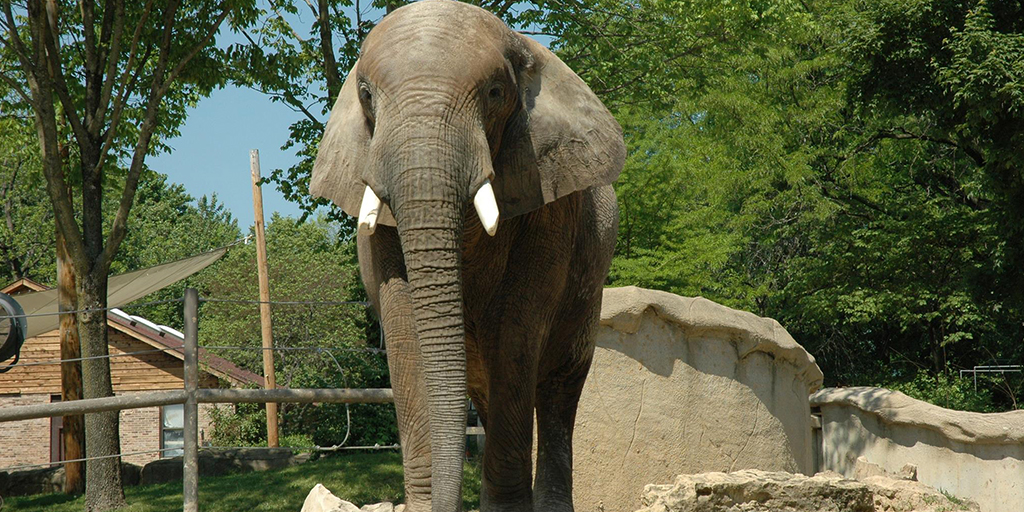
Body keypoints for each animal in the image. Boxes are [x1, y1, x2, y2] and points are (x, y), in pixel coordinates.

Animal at [309, 2, 623, 511]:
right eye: (366, 96)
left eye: (495, 94)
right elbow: (402, 326)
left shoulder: (549, 199)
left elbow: (519, 325)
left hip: (587, 295)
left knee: (558, 388)